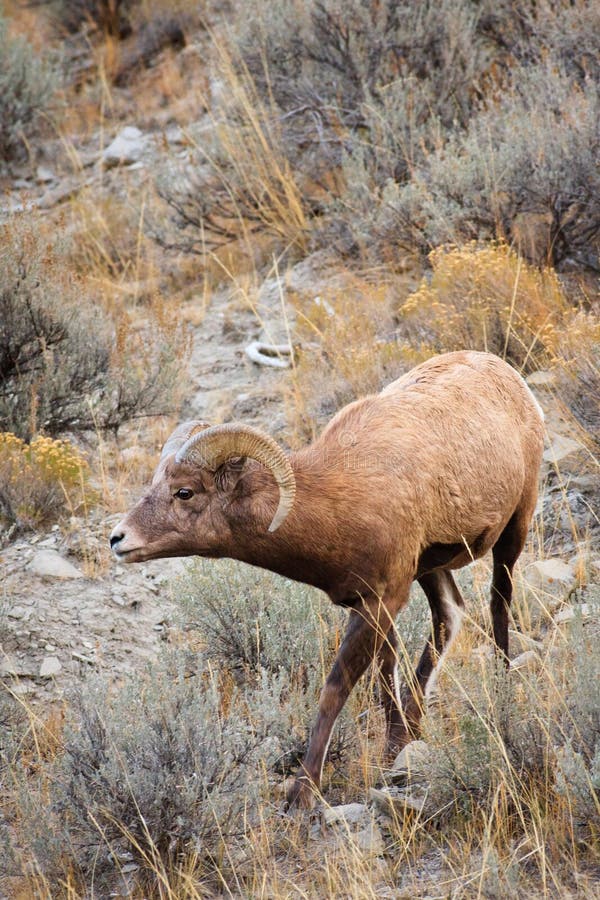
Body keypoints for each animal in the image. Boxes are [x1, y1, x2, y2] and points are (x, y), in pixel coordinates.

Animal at [110, 350, 544, 810]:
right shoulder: (374, 601)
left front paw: (302, 792)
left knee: (498, 602)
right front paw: (393, 750)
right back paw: (414, 724)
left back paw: (500, 689)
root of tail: (507, 375)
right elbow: (384, 675)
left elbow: (336, 688)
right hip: (431, 568)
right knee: (450, 615)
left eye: (185, 492)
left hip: (513, 531)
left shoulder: (381, 602)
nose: (118, 540)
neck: (339, 499)